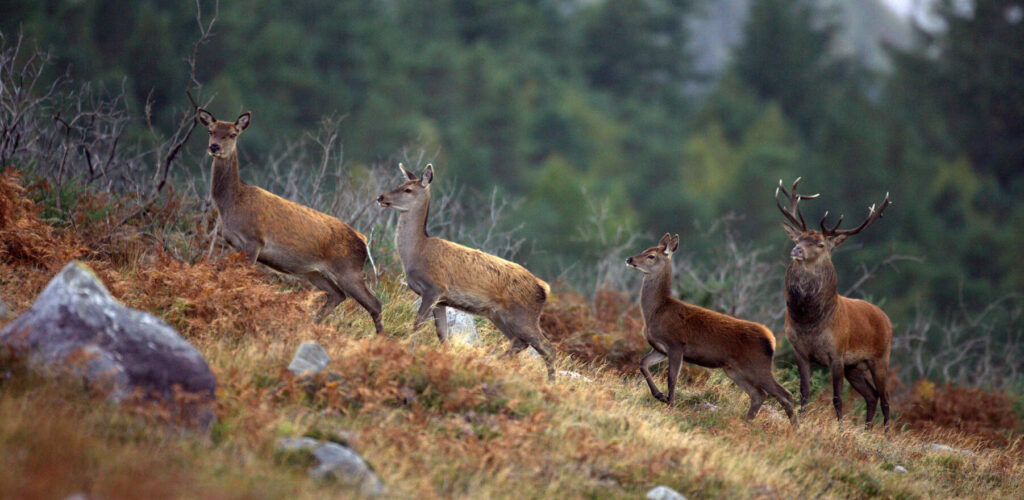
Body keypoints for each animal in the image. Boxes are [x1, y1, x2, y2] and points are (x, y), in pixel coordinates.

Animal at [196, 108, 383, 333]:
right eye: (210, 131)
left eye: (233, 134)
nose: (214, 147)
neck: (232, 204)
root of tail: (363, 240)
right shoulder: (235, 245)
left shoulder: (254, 241)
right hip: (314, 271)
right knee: (338, 295)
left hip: (348, 269)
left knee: (374, 303)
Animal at [376, 163, 556, 379]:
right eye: (400, 184)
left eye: (408, 190)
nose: (381, 197)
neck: (417, 252)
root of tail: (543, 288)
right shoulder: (442, 300)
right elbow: (442, 334)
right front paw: (446, 361)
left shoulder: (433, 288)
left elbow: (417, 323)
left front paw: (407, 353)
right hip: (499, 315)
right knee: (520, 342)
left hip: (523, 315)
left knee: (547, 347)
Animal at [627, 234, 798, 426]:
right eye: (644, 250)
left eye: (651, 256)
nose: (629, 259)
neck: (656, 311)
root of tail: (772, 339)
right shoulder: (660, 348)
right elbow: (642, 363)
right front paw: (660, 396)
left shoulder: (676, 344)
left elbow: (672, 378)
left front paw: (670, 405)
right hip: (733, 369)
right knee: (758, 394)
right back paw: (745, 424)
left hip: (757, 364)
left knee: (785, 395)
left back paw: (795, 428)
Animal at [775, 178, 893, 428]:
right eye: (799, 238)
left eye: (820, 244)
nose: (796, 249)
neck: (809, 322)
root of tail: (886, 318)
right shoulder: (800, 350)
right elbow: (804, 390)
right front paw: (800, 420)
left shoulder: (837, 353)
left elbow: (837, 397)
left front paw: (838, 427)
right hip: (854, 367)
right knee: (871, 395)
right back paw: (866, 429)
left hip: (880, 358)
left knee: (885, 397)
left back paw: (885, 432)